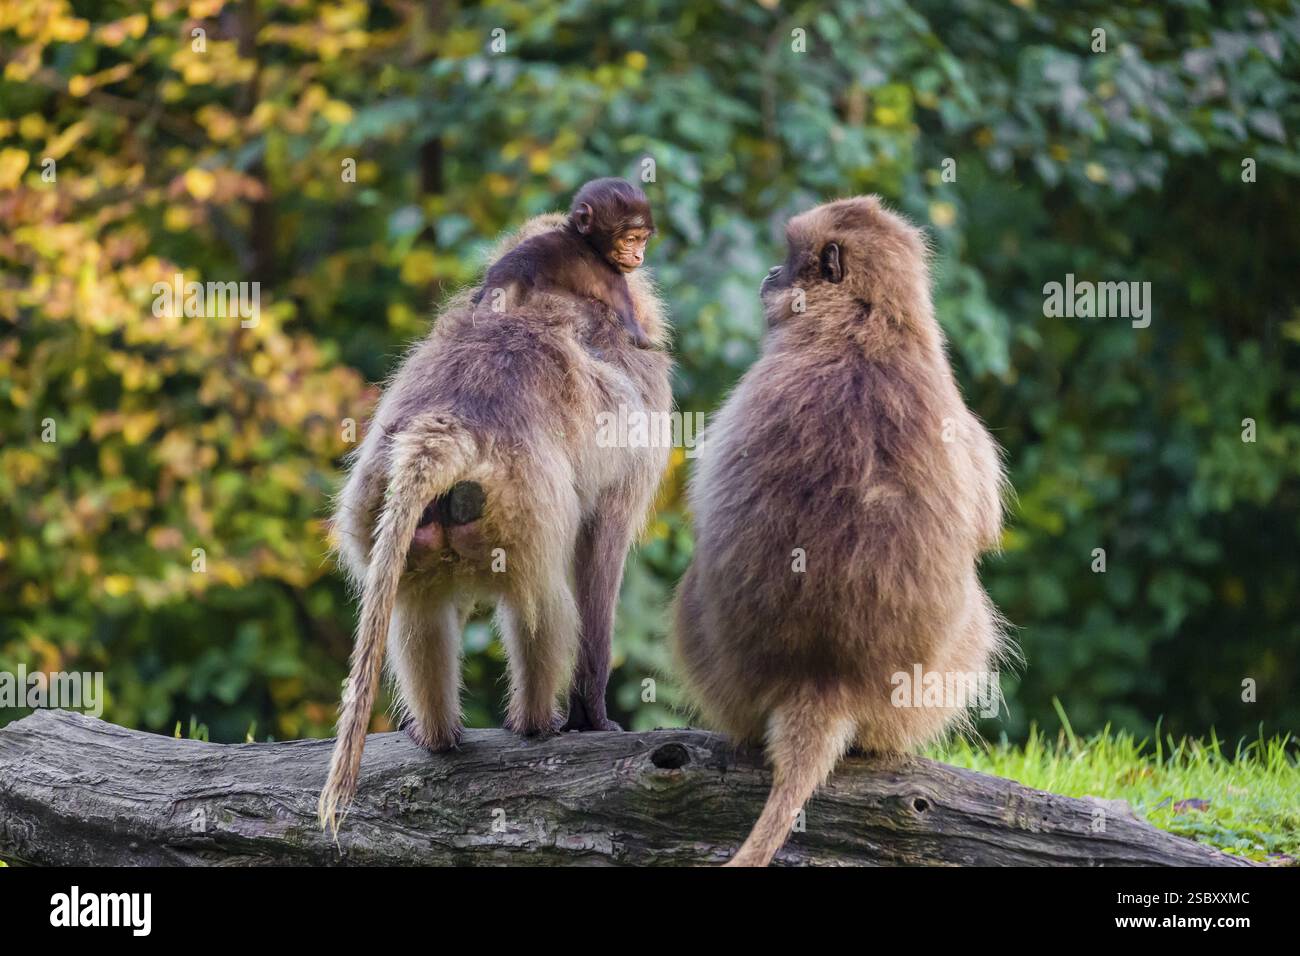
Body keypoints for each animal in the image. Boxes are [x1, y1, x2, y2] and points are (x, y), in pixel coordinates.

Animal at [319, 212, 672, 832]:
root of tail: (448, 429)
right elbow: (600, 556)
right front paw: (593, 716)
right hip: (523, 507)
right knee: (545, 602)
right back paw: (535, 726)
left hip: (379, 502)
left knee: (422, 613)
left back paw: (436, 736)